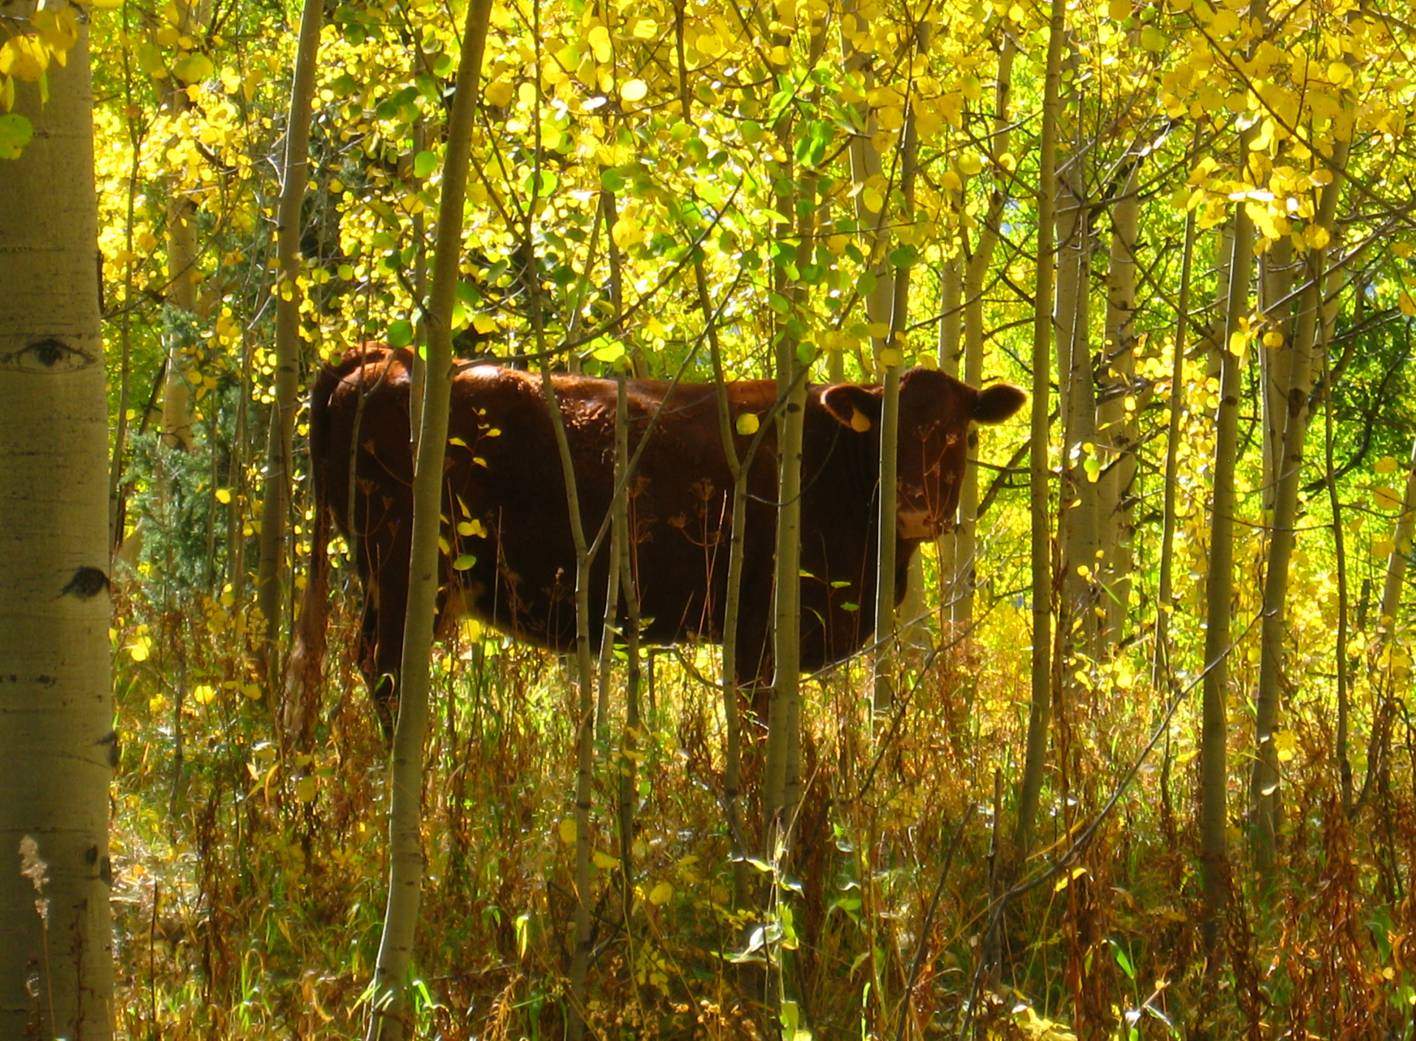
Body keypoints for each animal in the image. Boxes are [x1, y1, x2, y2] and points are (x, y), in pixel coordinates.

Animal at [289, 344, 1024, 737]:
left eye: (961, 432)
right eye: (887, 432)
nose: (916, 507)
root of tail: (385, 358)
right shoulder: (756, 631)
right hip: (403, 569)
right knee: (384, 667)